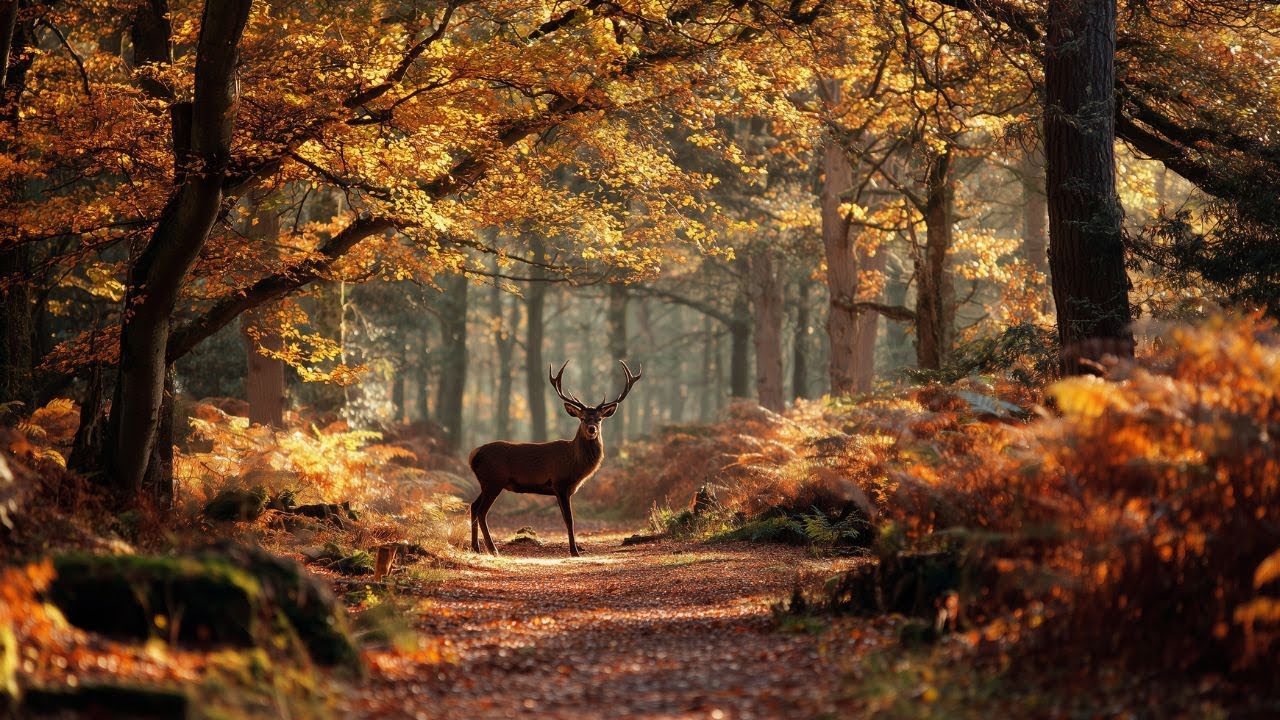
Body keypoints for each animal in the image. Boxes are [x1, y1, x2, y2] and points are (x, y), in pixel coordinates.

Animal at [468, 360, 642, 557]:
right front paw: (575, 551)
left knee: (473, 506)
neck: (574, 464)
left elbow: (567, 519)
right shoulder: (560, 483)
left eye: (599, 419)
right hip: (493, 481)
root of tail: (473, 454)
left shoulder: (560, 489)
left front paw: (576, 549)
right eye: (582, 418)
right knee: (482, 511)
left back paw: (476, 547)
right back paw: (493, 549)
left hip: (486, 482)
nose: (591, 429)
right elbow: (569, 520)